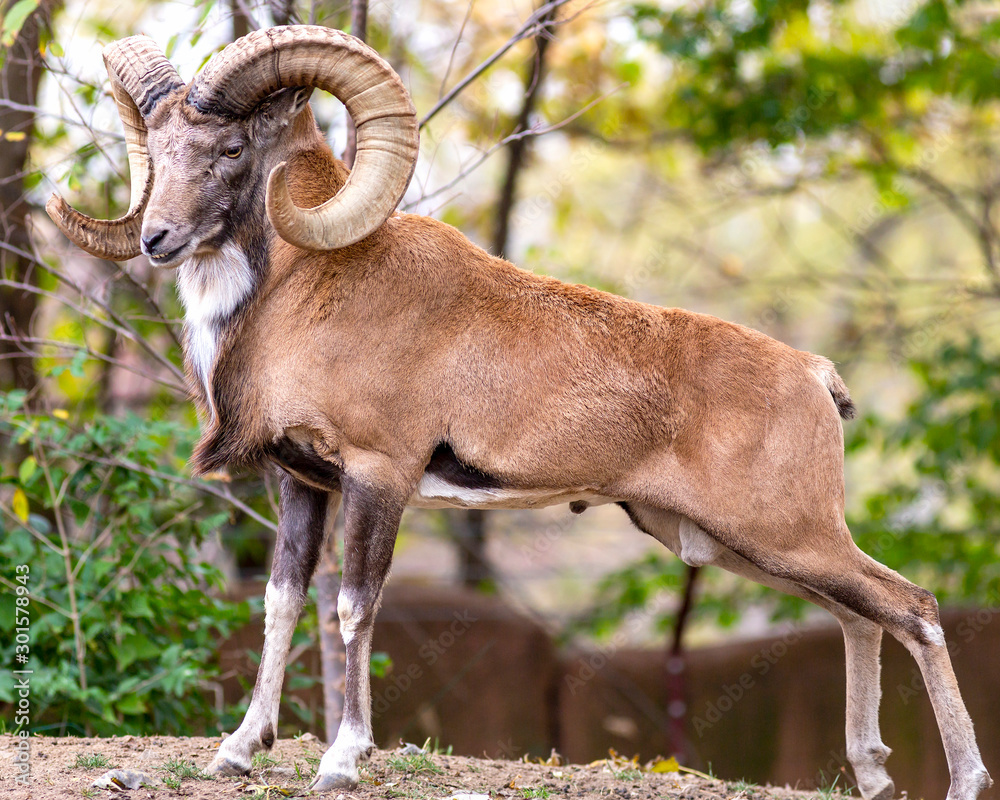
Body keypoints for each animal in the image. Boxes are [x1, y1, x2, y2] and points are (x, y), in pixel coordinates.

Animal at [47, 25, 991, 799]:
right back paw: (873, 775)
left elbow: (354, 606)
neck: (298, 293)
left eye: (235, 146)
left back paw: (966, 780)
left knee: (912, 607)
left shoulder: (379, 480)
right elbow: (283, 606)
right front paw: (238, 752)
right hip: (747, 546)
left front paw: (342, 761)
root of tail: (814, 376)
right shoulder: (301, 487)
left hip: (786, 535)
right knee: (859, 616)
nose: (157, 239)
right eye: (158, 146)